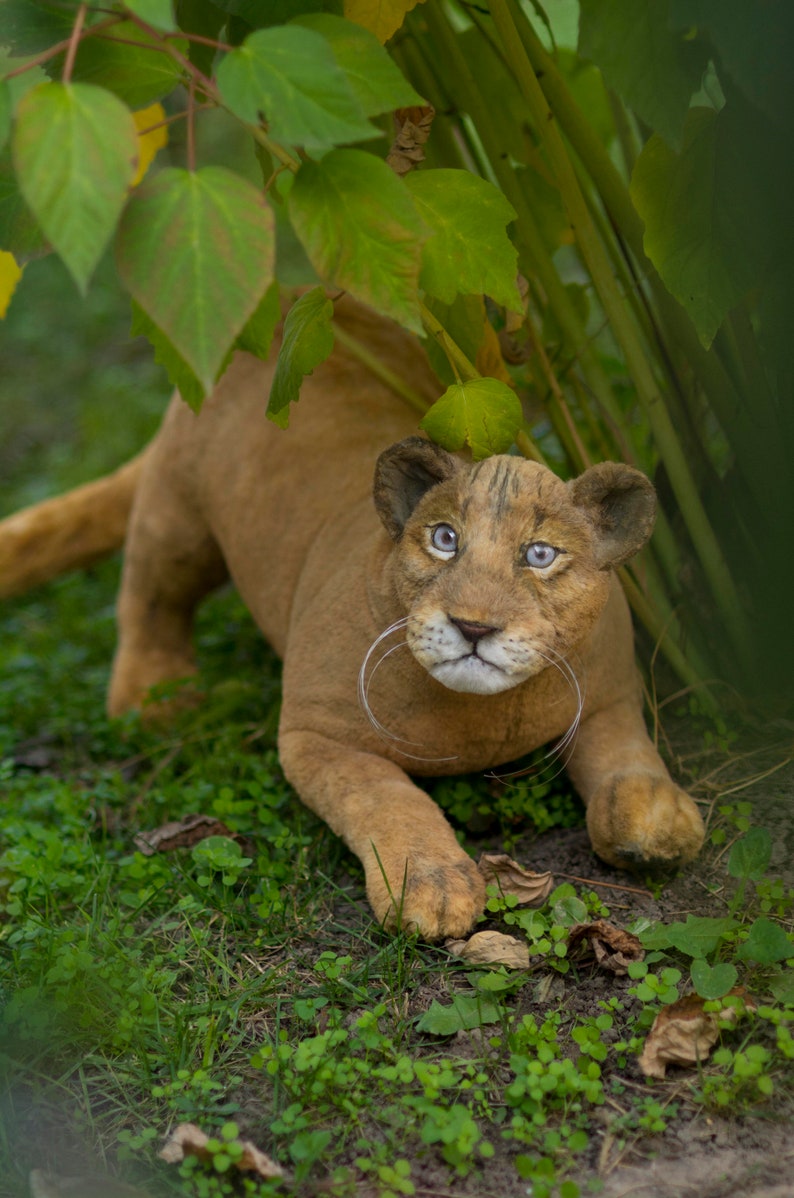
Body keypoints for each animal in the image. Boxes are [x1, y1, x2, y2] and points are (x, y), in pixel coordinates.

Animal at [0, 295, 704, 938]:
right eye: (444, 539)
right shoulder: (317, 733)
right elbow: (390, 799)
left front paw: (657, 820)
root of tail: (279, 301)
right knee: (149, 597)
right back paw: (155, 698)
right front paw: (431, 884)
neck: (481, 717)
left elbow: (626, 751)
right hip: (177, 520)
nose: (475, 627)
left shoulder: (610, 694)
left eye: (540, 555)